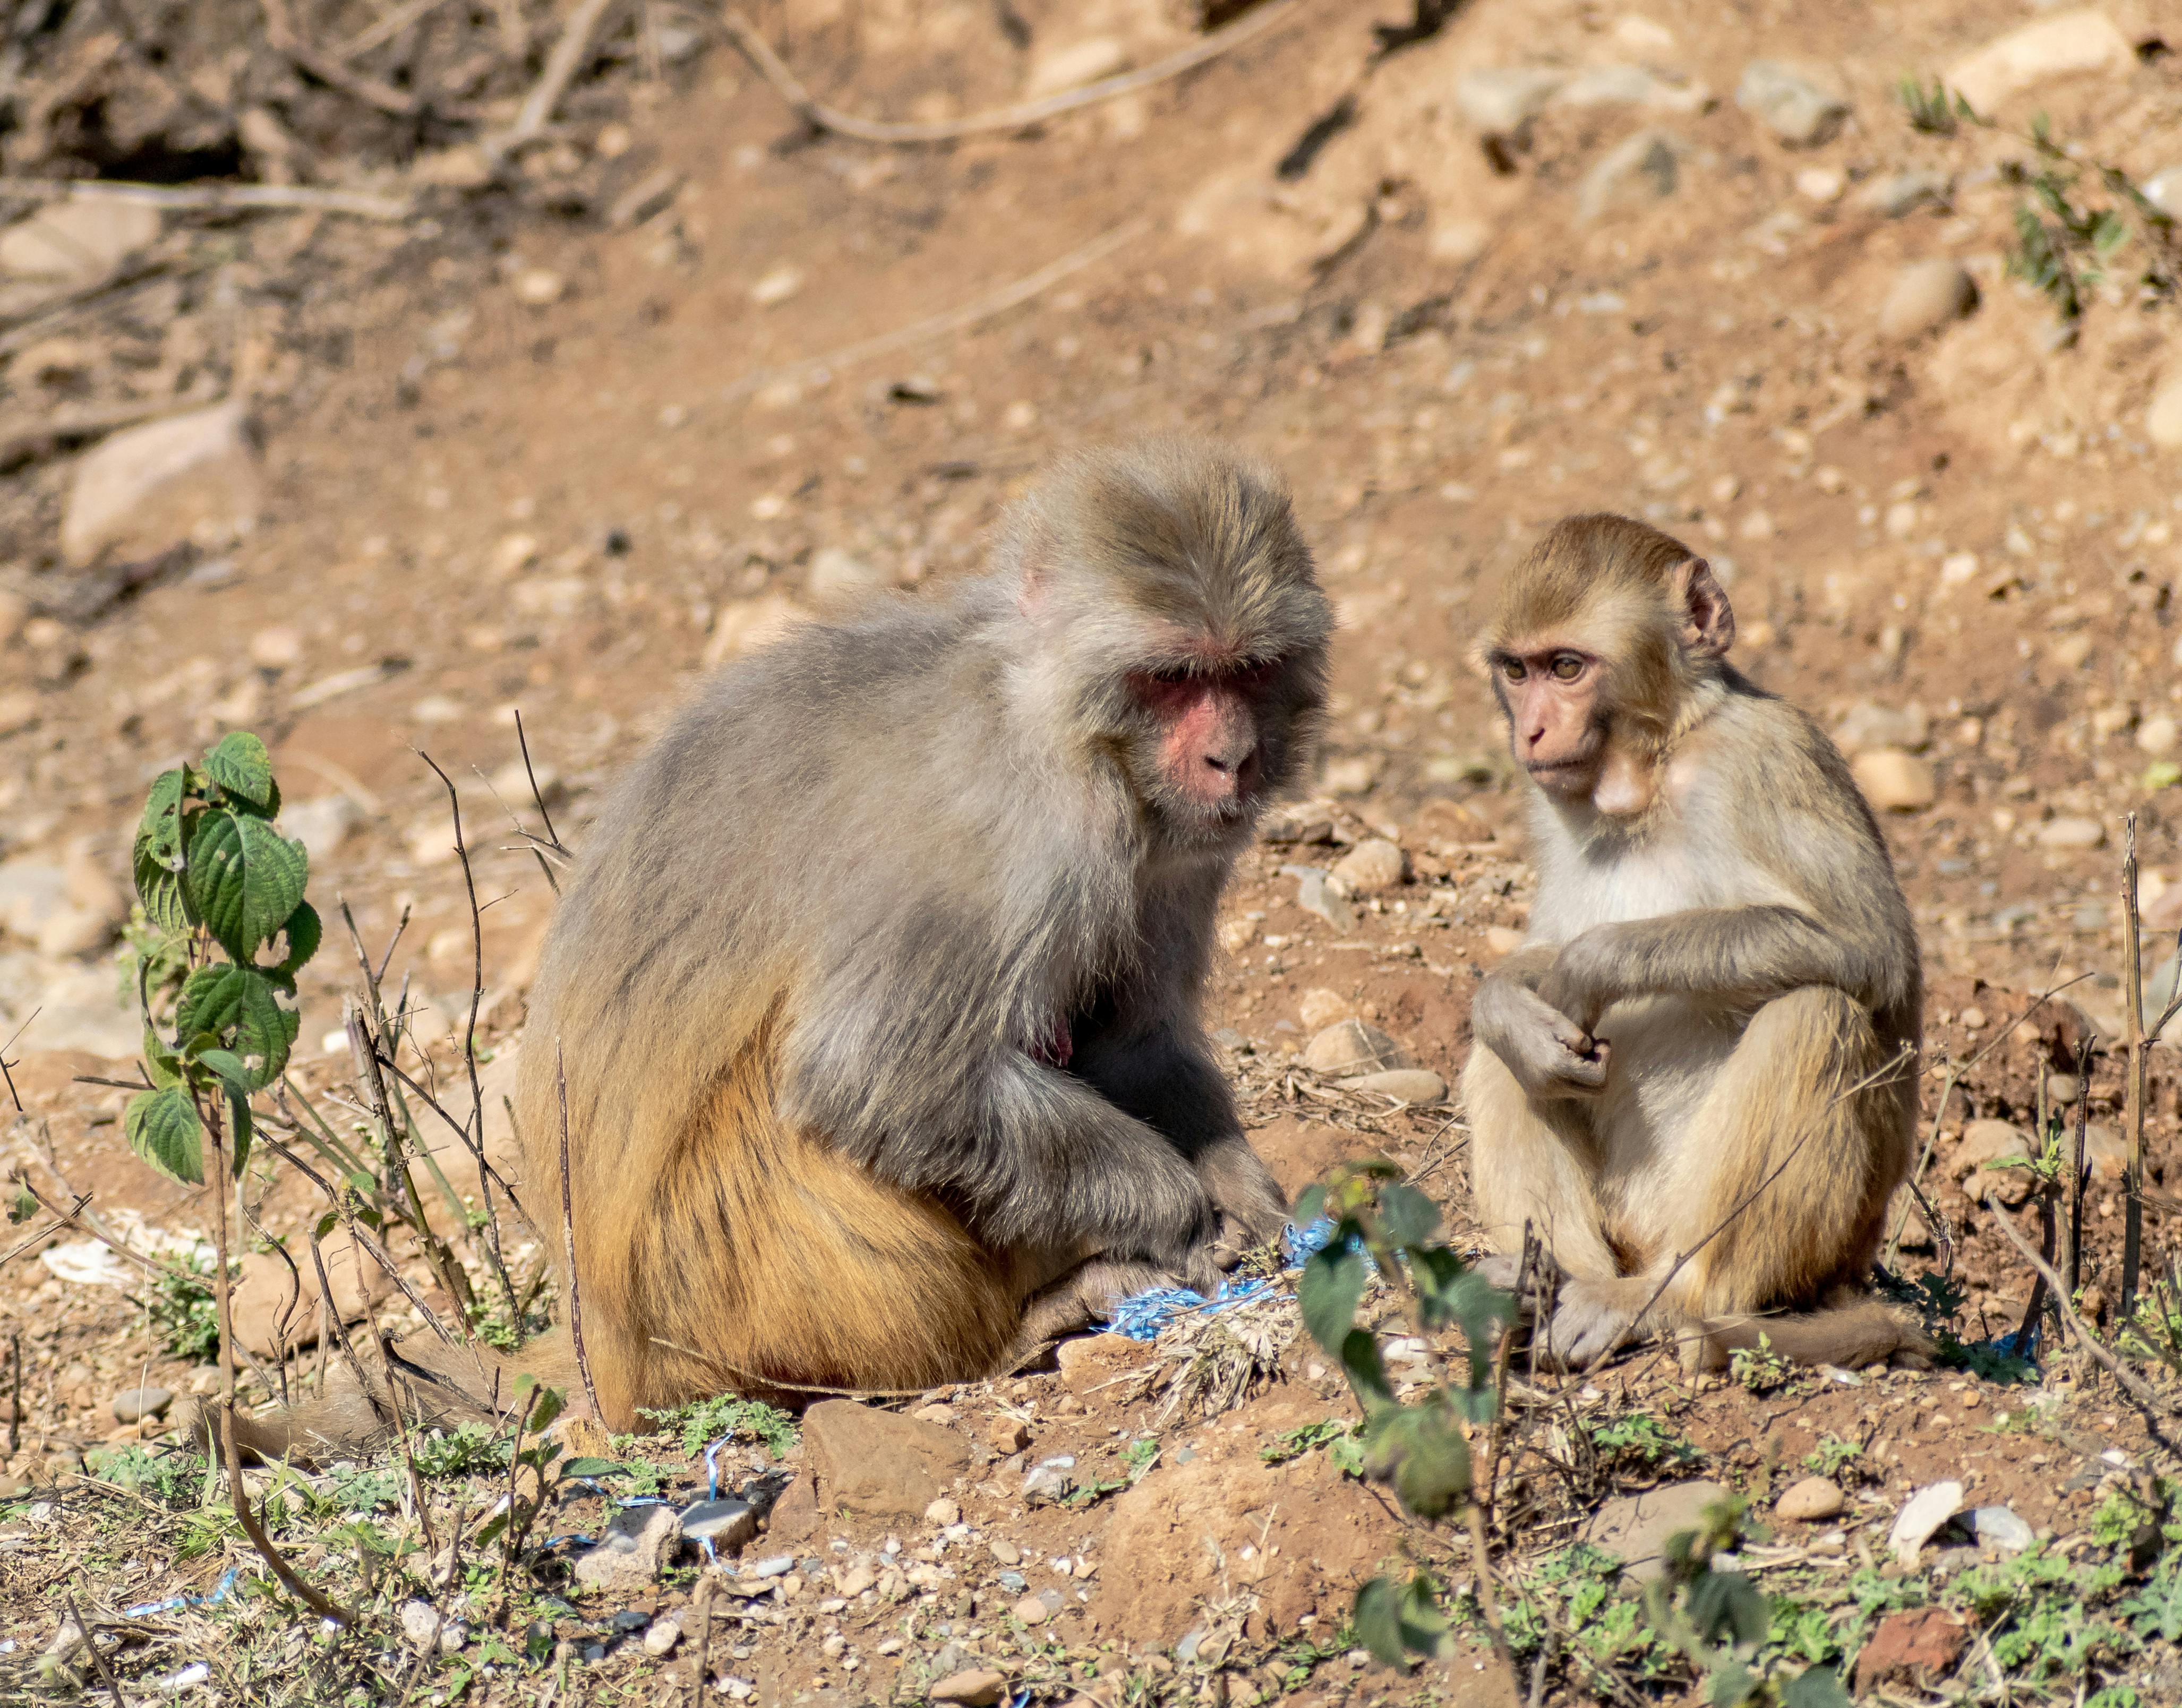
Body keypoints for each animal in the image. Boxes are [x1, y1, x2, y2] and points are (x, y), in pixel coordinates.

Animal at [205, 436, 1331, 1462]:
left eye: (1249, 671)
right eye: (1172, 678)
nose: (1231, 756)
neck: (1054, 716)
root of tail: (604, 1358)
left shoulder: (1175, 848)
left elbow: (1133, 1041)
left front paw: (1240, 1191)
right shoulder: (1024, 831)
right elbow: (876, 1078)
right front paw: (1179, 1214)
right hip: (734, 1287)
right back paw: (1022, 1323)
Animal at [1458, 513, 1928, 1373]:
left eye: (1566, 667)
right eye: (1516, 670)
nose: (1531, 730)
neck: (1655, 765)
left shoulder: (1770, 755)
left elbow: (1869, 950)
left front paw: (1592, 964)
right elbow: (1529, 987)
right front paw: (1508, 1001)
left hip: (1816, 1245)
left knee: (1814, 1013)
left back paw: (1668, 1297)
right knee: (1508, 1060)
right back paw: (1543, 1282)